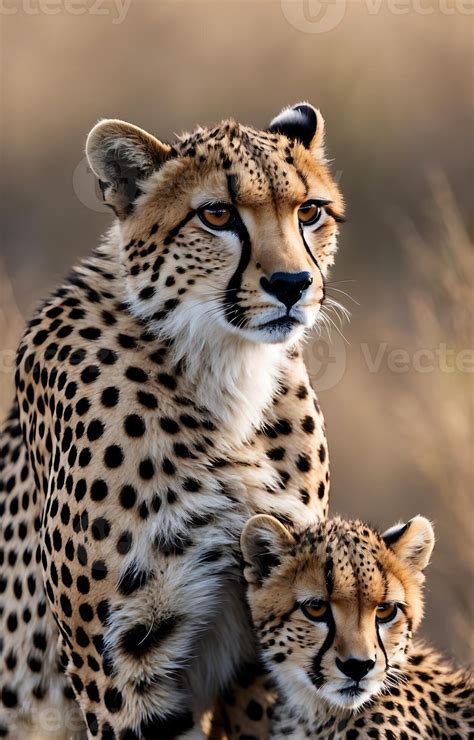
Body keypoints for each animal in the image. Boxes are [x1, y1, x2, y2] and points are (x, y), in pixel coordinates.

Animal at [0, 103, 345, 739]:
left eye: (309, 211)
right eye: (217, 214)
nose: (292, 285)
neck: (225, 370)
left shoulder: (277, 631)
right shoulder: (120, 663)